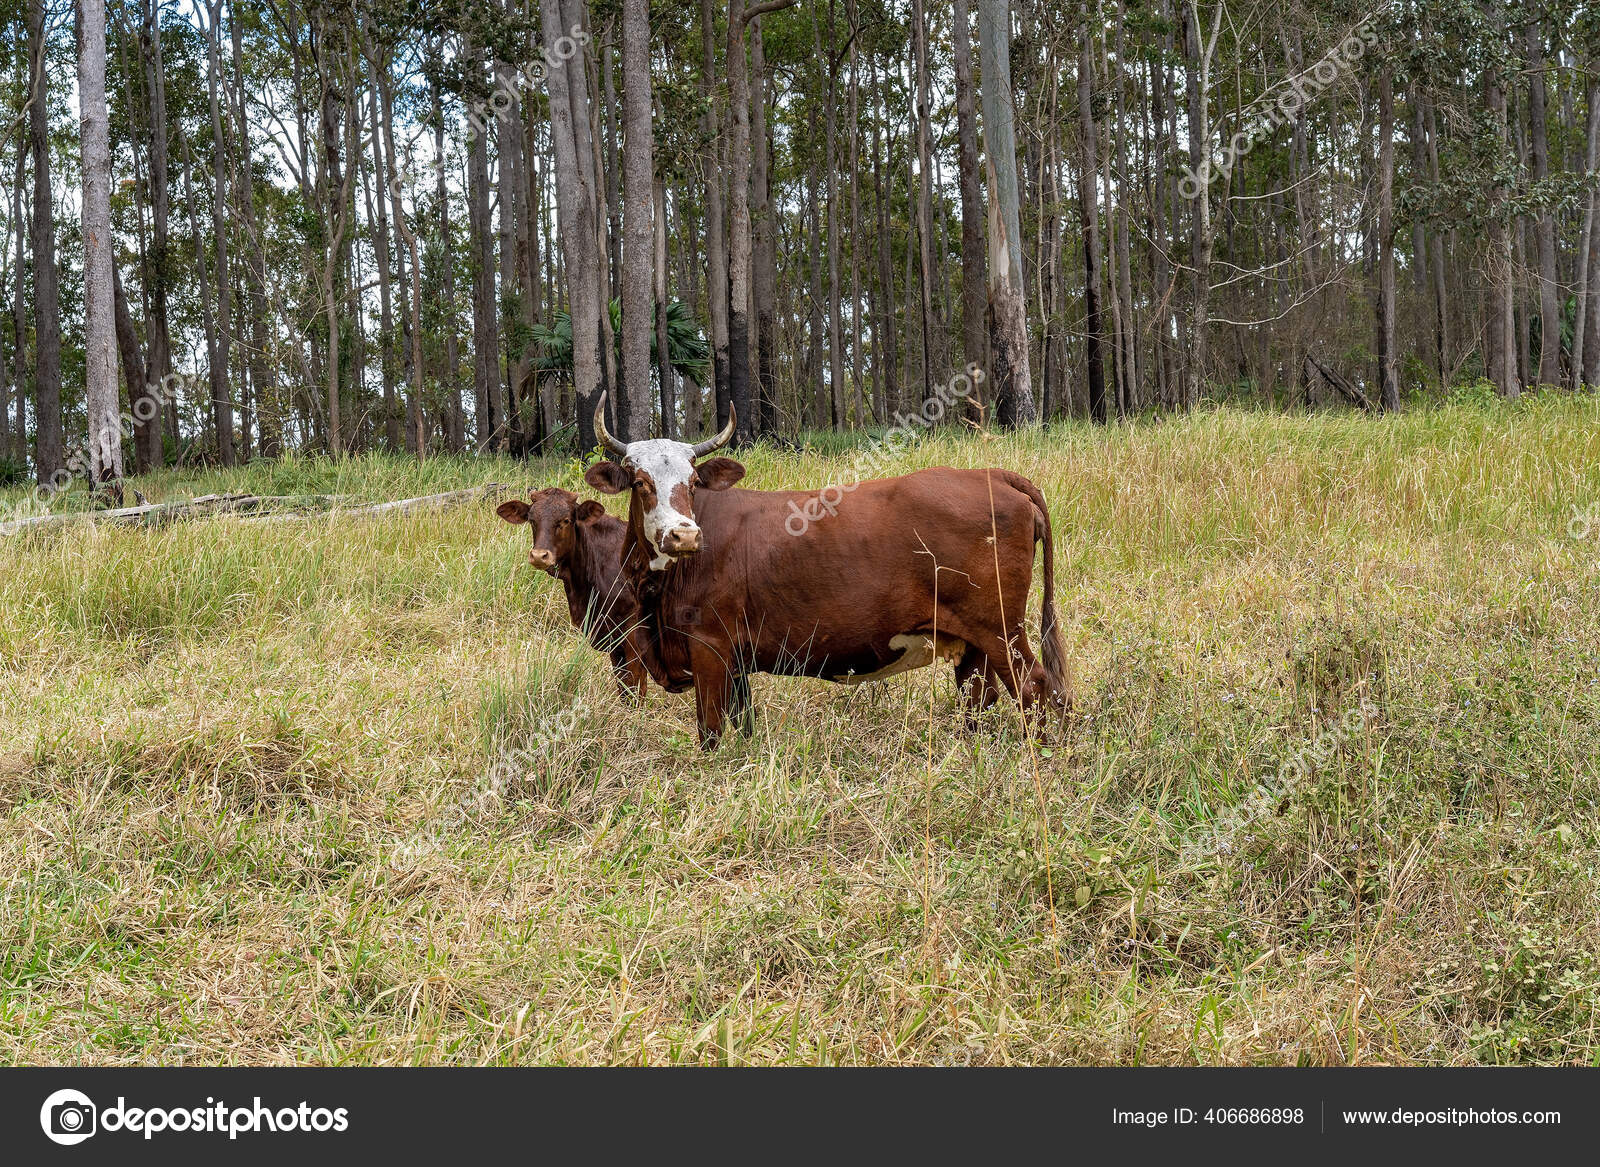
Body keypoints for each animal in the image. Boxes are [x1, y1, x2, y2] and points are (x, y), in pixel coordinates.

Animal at [496, 488, 691, 699]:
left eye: (566, 520)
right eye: (532, 520)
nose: (539, 556)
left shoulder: (633, 639)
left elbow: (633, 691)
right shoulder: (614, 642)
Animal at [581, 396, 1070, 748]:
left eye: (694, 481)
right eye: (639, 481)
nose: (683, 536)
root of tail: (991, 474)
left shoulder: (709, 649)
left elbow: (711, 731)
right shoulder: (734, 661)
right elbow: (742, 725)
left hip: (1001, 628)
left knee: (1034, 687)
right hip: (974, 640)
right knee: (979, 696)